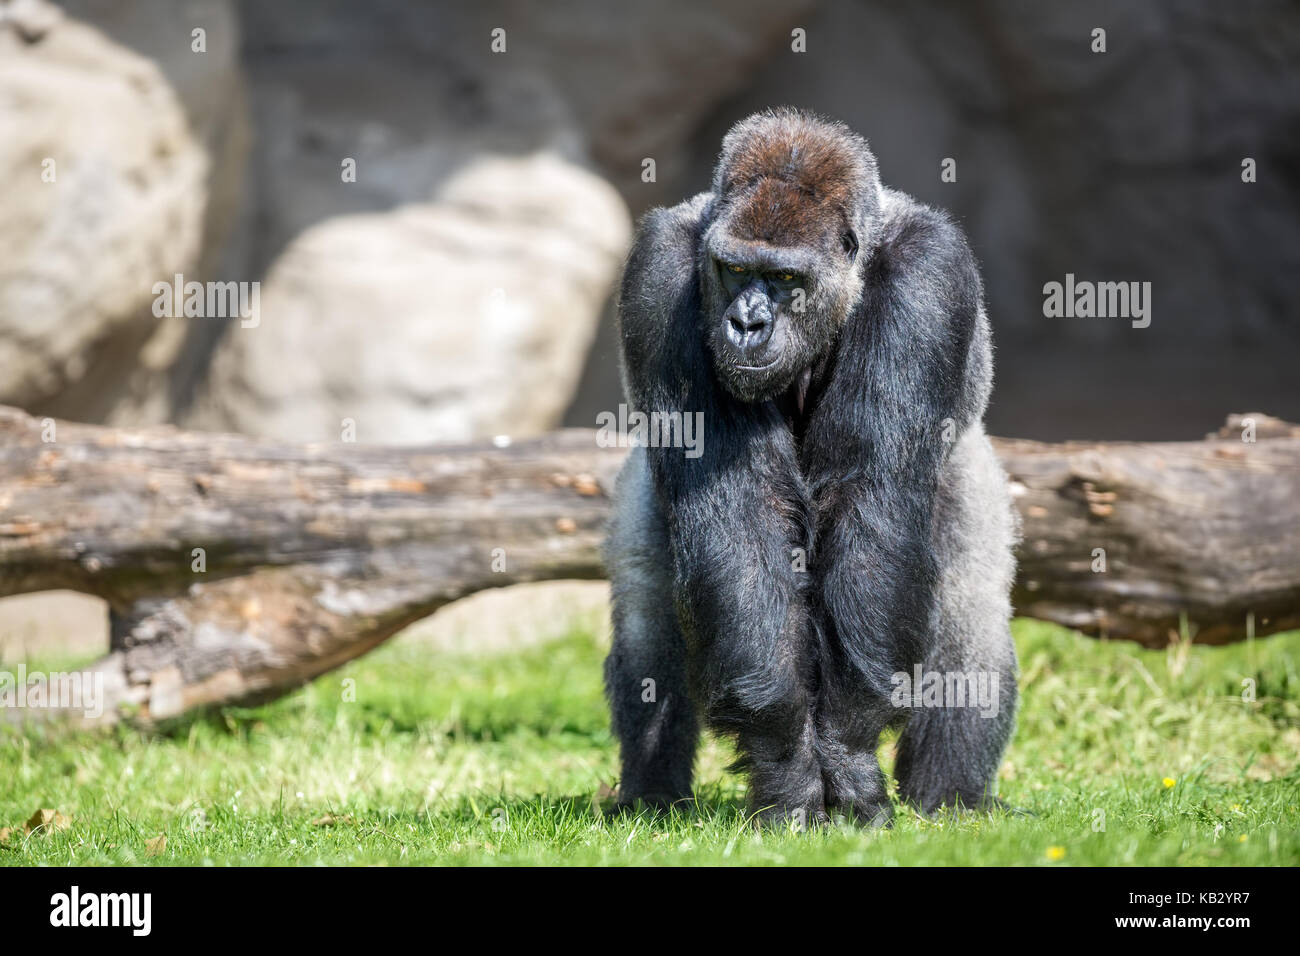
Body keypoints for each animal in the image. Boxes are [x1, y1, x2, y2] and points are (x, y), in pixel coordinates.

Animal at [603, 108, 1020, 827]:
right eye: (734, 270)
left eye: (787, 281)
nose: (746, 324)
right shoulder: (660, 265)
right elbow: (741, 515)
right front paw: (786, 764)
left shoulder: (928, 270)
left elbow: (869, 496)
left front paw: (846, 754)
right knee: (648, 613)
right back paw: (653, 800)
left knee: (972, 603)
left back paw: (950, 800)